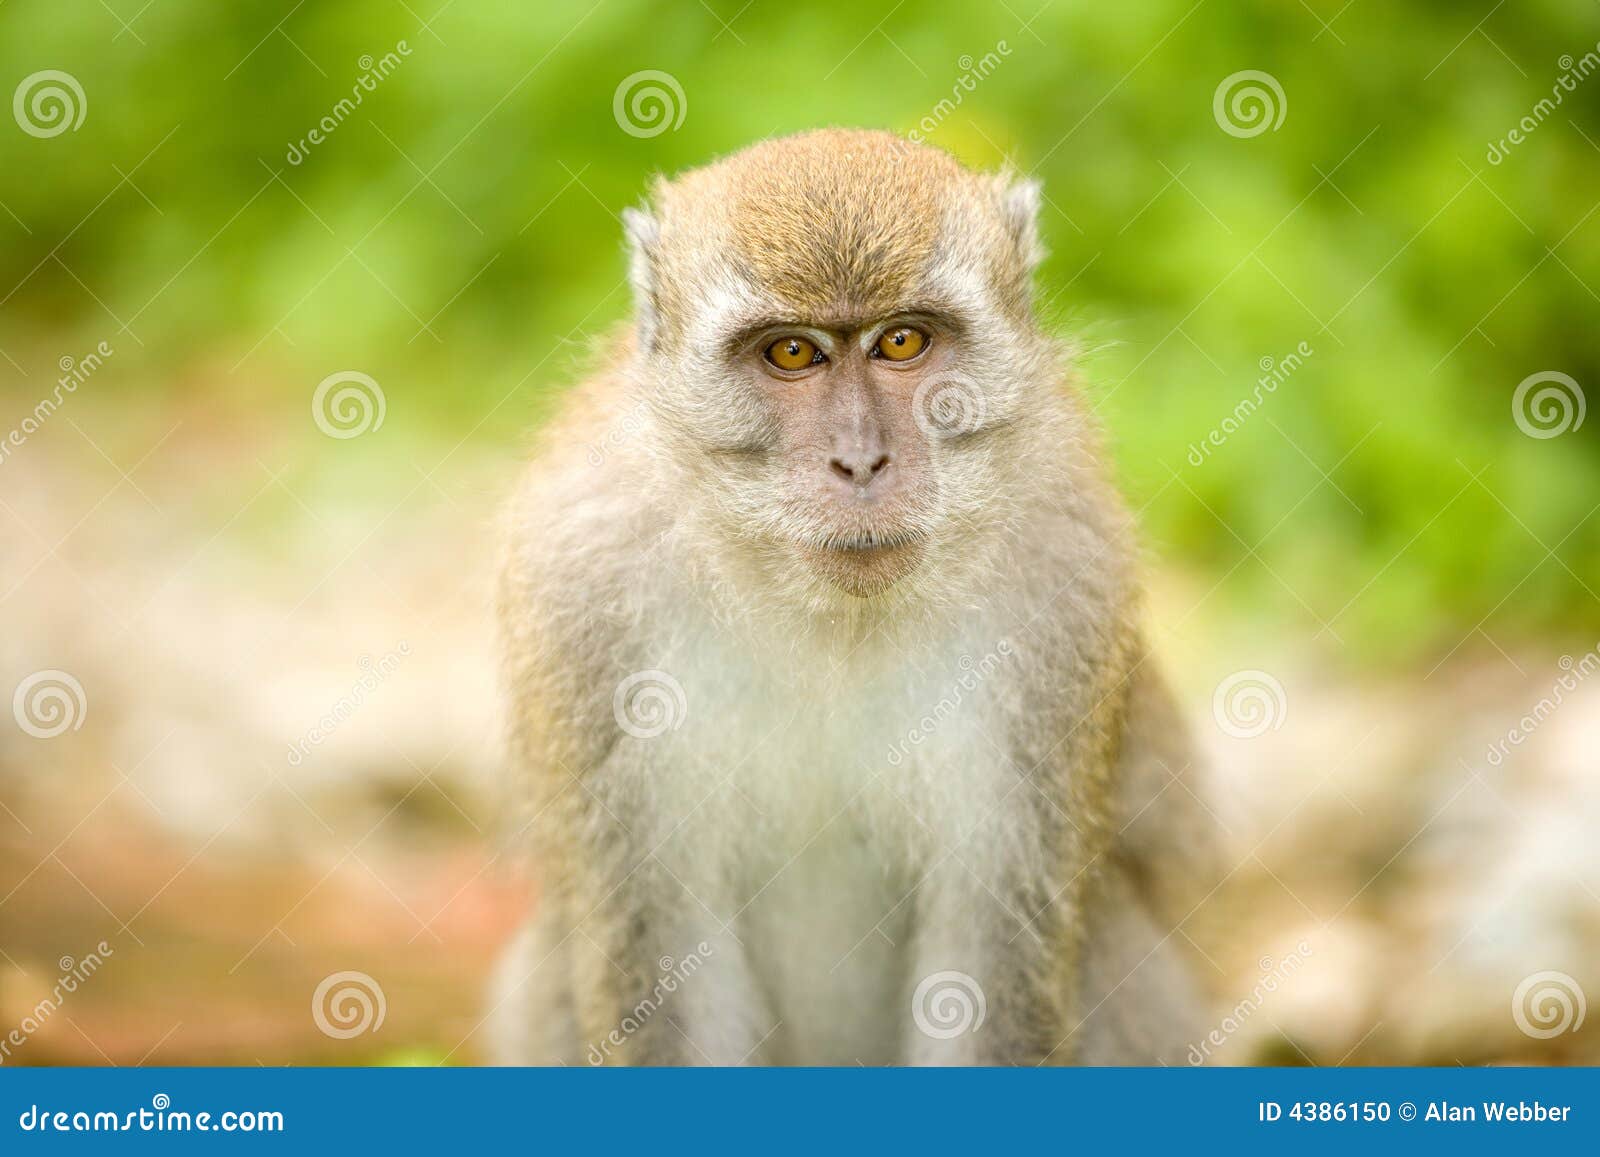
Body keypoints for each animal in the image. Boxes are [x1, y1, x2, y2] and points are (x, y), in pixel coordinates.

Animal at [489, 128, 1220, 1066]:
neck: (827, 618)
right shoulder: (585, 591)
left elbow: (988, 968)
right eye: (792, 352)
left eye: (902, 341)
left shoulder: (1064, 592)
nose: (861, 461)